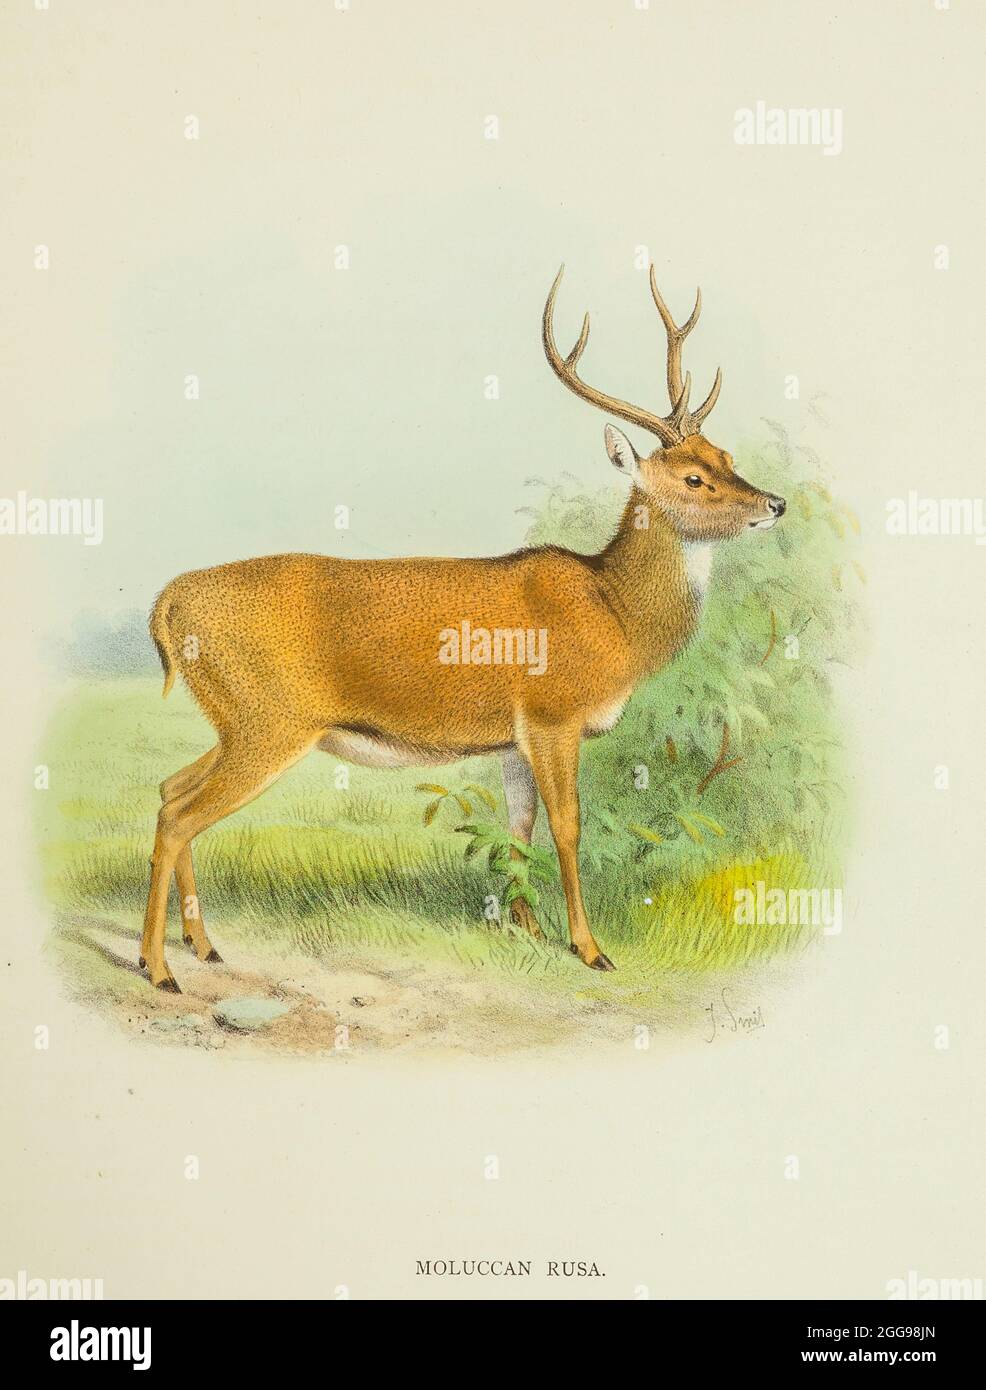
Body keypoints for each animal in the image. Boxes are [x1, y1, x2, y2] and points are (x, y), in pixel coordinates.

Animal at [141, 266, 785, 992]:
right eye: (694, 477)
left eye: (725, 454)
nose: (775, 503)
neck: (612, 613)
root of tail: (167, 605)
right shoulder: (553, 715)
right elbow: (567, 826)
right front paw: (589, 948)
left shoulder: (513, 738)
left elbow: (520, 826)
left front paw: (525, 928)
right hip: (268, 719)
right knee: (179, 814)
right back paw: (157, 967)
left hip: (236, 718)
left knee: (168, 790)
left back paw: (202, 945)